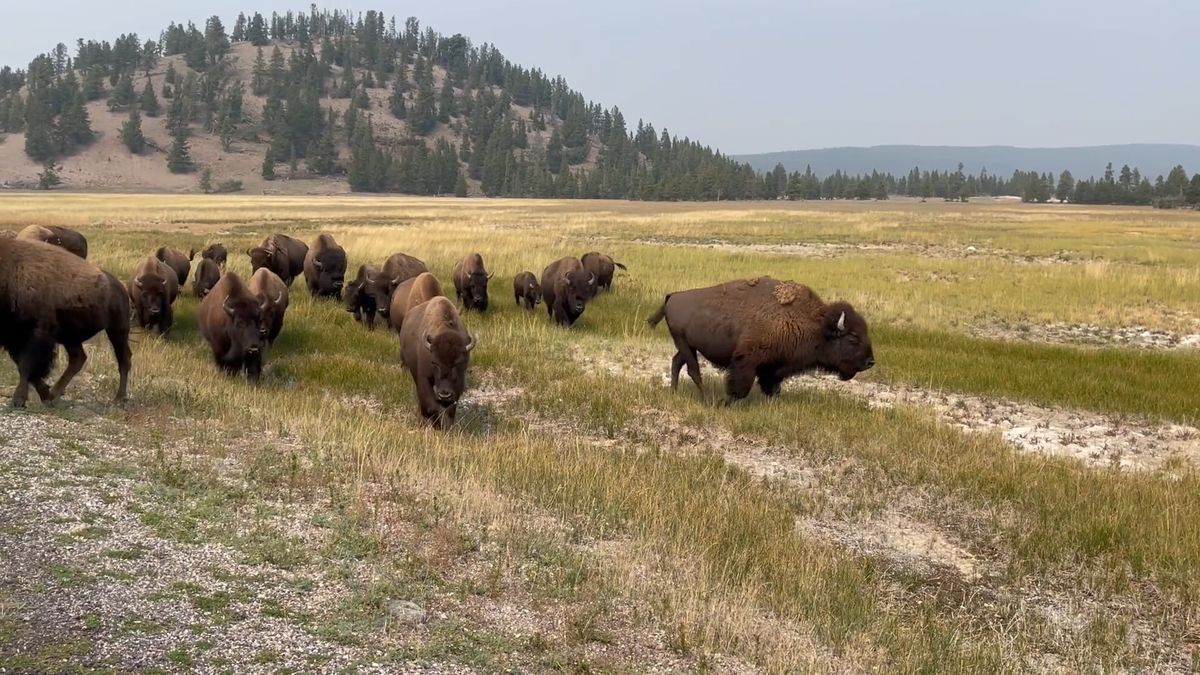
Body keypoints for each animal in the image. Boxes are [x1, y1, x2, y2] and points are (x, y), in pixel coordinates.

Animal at [0, 237, 130, 406]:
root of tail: (120, 287)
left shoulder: (36, 335)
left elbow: (26, 366)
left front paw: (19, 399)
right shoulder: (14, 339)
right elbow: (27, 369)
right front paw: (45, 395)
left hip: (117, 330)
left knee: (124, 360)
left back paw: (119, 398)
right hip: (70, 336)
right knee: (78, 359)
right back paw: (55, 394)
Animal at [399, 296, 475, 429]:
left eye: (458, 363)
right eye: (434, 362)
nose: (444, 394)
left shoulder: (458, 384)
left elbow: (450, 409)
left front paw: (448, 428)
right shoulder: (424, 378)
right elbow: (431, 406)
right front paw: (436, 426)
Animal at [647, 277, 875, 402]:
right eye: (853, 339)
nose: (870, 362)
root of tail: (672, 296)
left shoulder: (773, 367)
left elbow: (772, 386)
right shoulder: (747, 361)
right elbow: (740, 388)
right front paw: (724, 402)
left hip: (688, 345)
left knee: (677, 363)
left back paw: (675, 392)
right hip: (683, 342)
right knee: (693, 370)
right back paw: (707, 399)